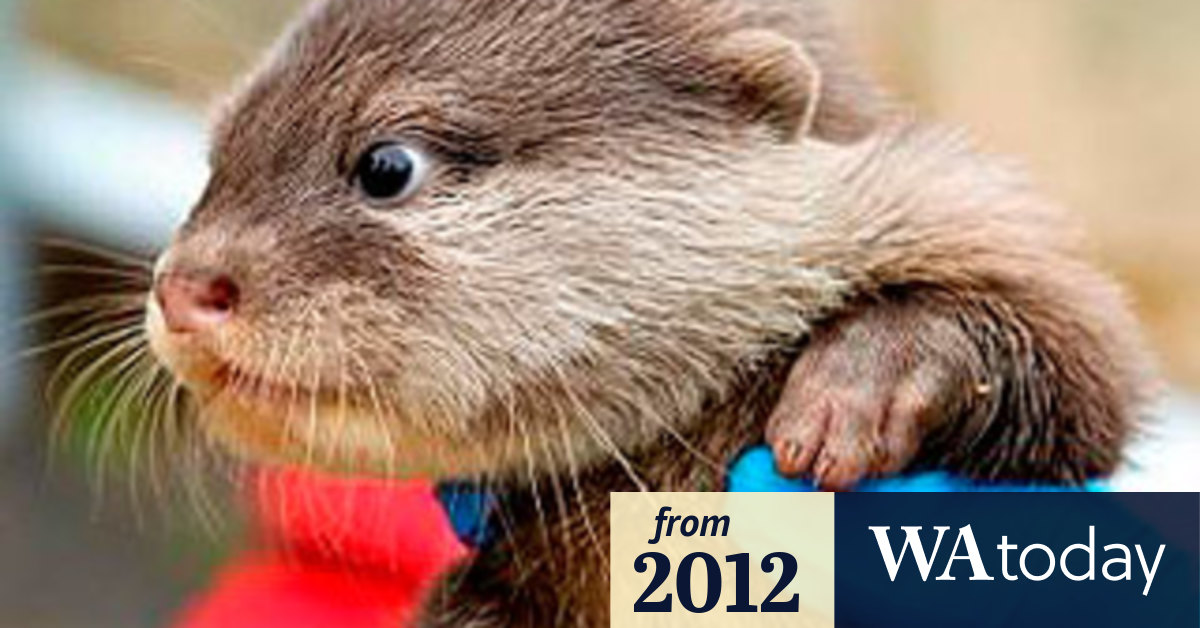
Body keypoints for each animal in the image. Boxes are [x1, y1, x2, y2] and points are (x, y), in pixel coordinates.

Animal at [141, 0, 1152, 624]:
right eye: (217, 152)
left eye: (387, 165)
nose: (185, 286)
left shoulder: (981, 233)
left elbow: (1072, 365)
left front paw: (856, 395)